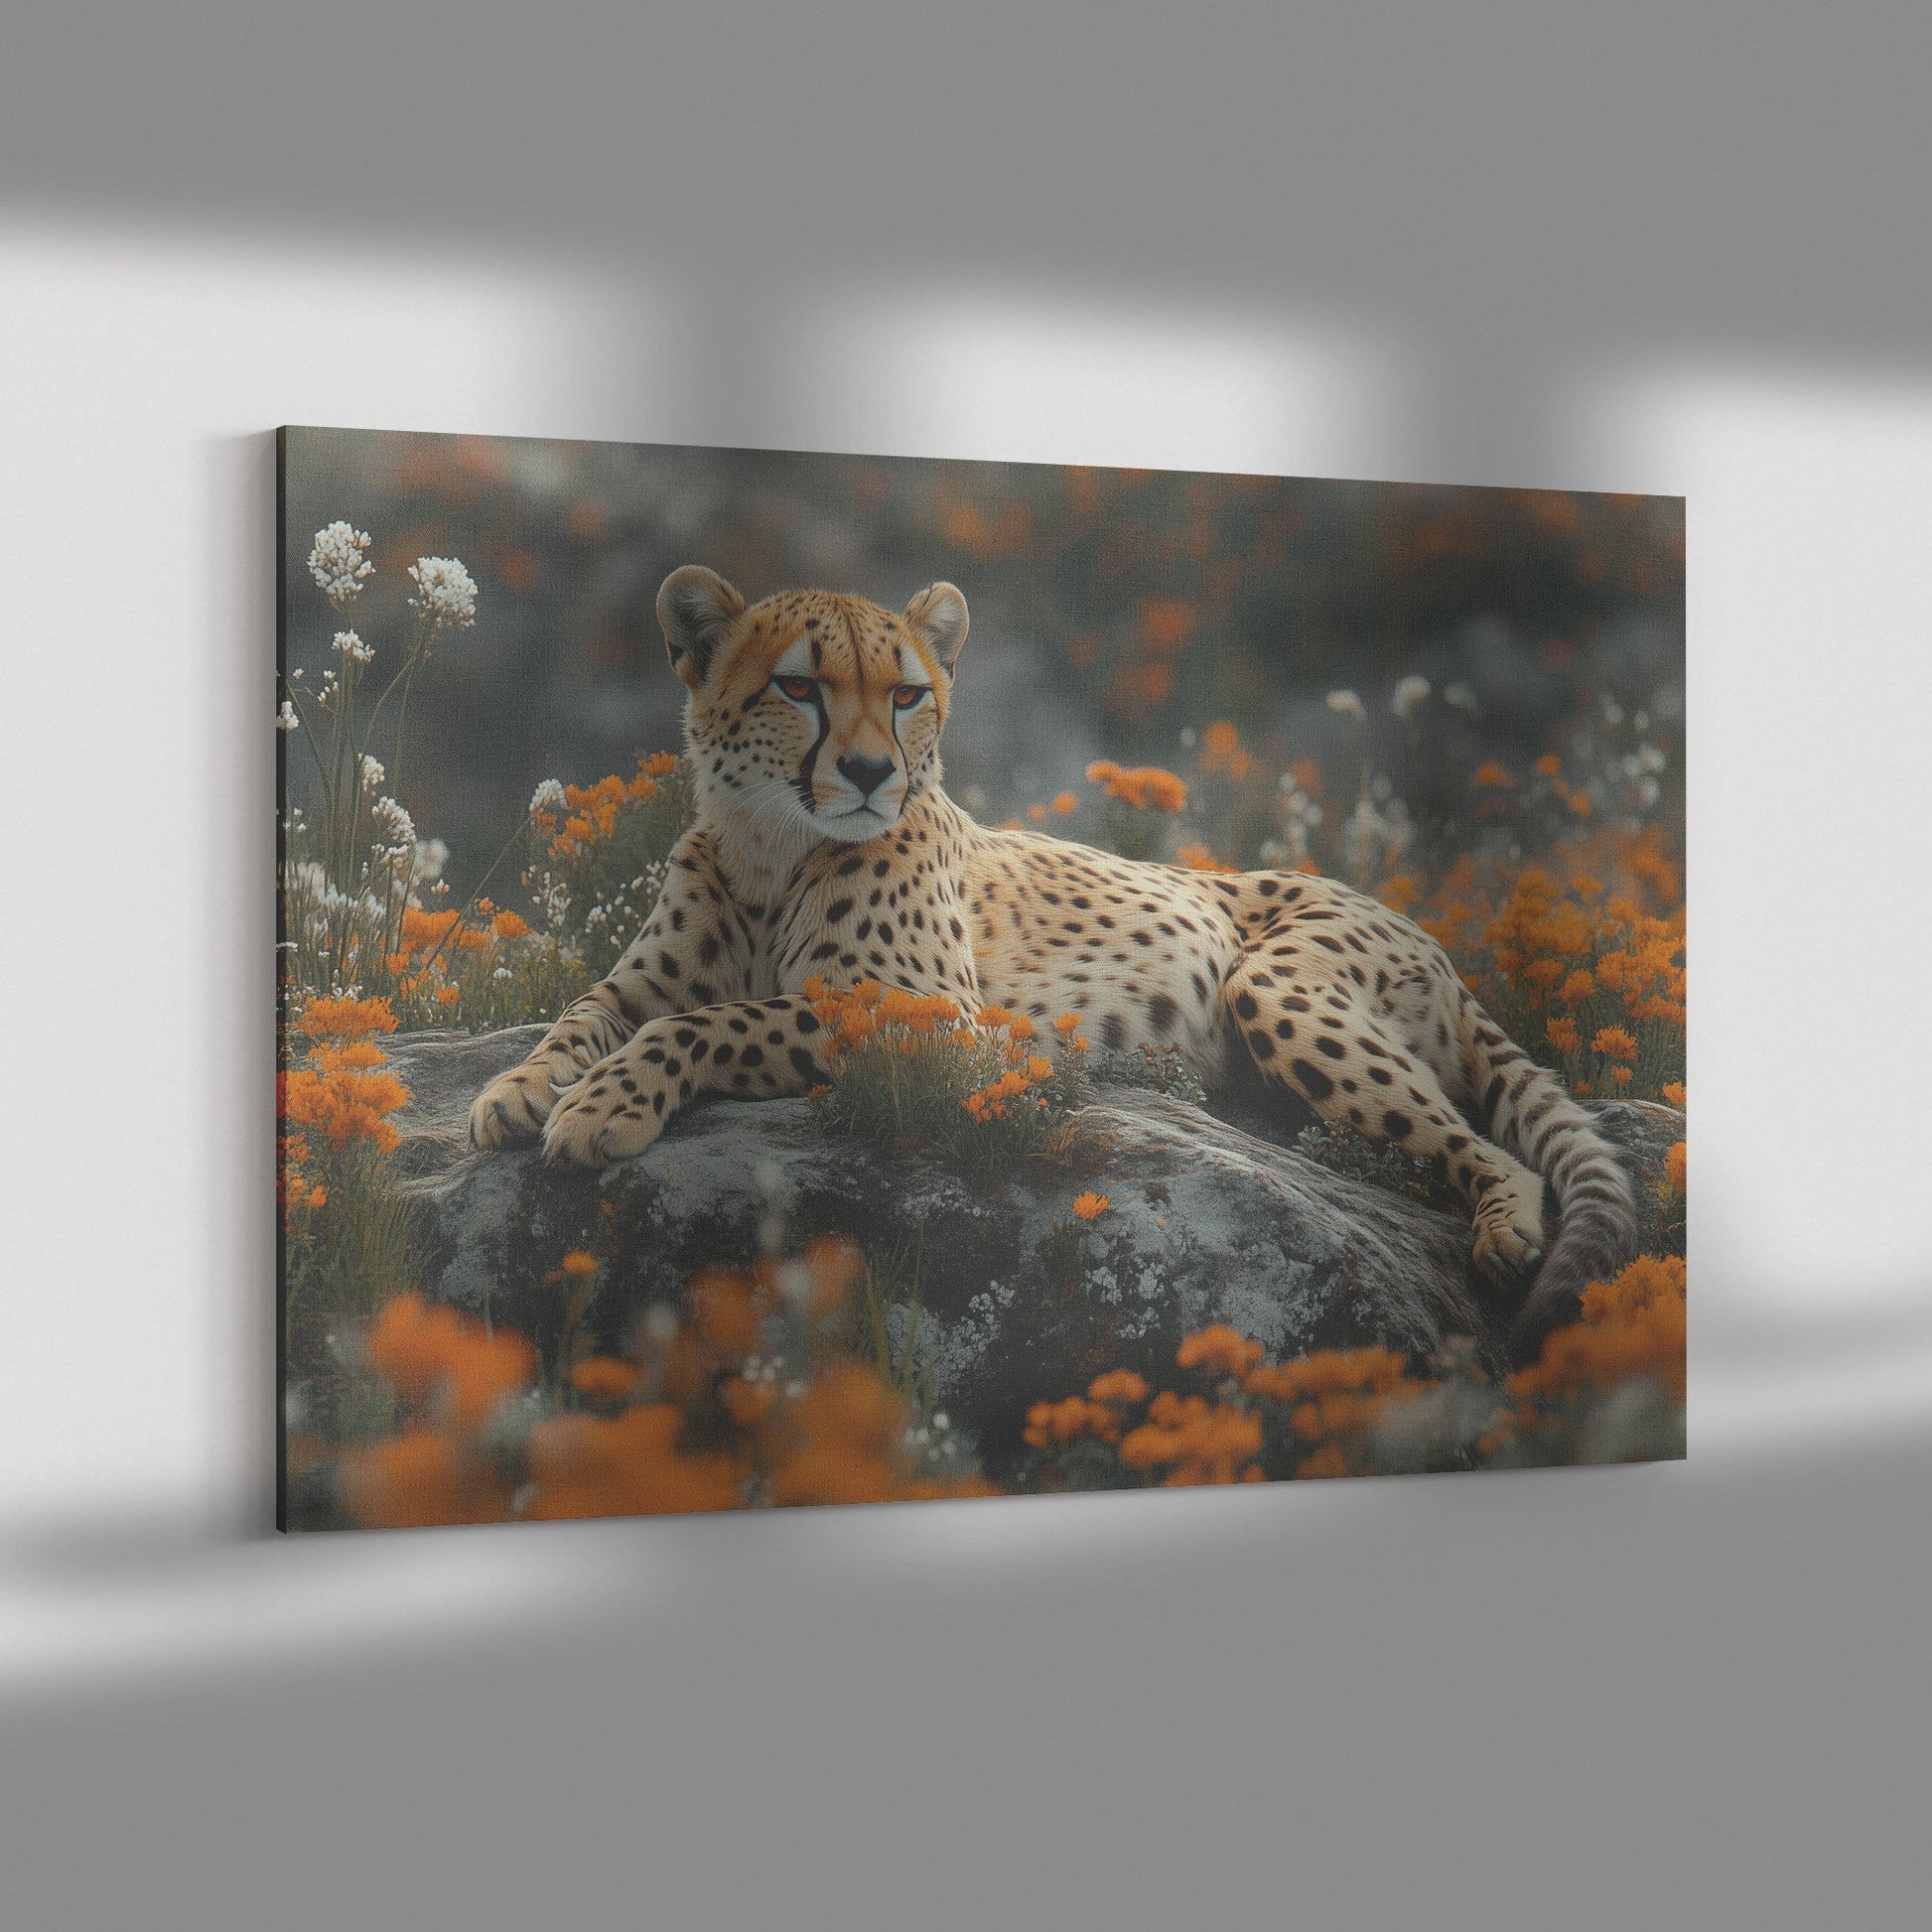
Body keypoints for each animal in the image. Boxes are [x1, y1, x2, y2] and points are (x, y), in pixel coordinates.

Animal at [469, 565, 1638, 1353]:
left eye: (906, 695)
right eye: (798, 688)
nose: (868, 773)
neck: (768, 846)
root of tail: (1428, 934)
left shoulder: (931, 1018)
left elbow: (710, 1022)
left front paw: (599, 1106)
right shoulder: (641, 980)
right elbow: (587, 1012)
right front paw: (518, 1088)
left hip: (1273, 986)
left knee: (1497, 1153)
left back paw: (1501, 1229)